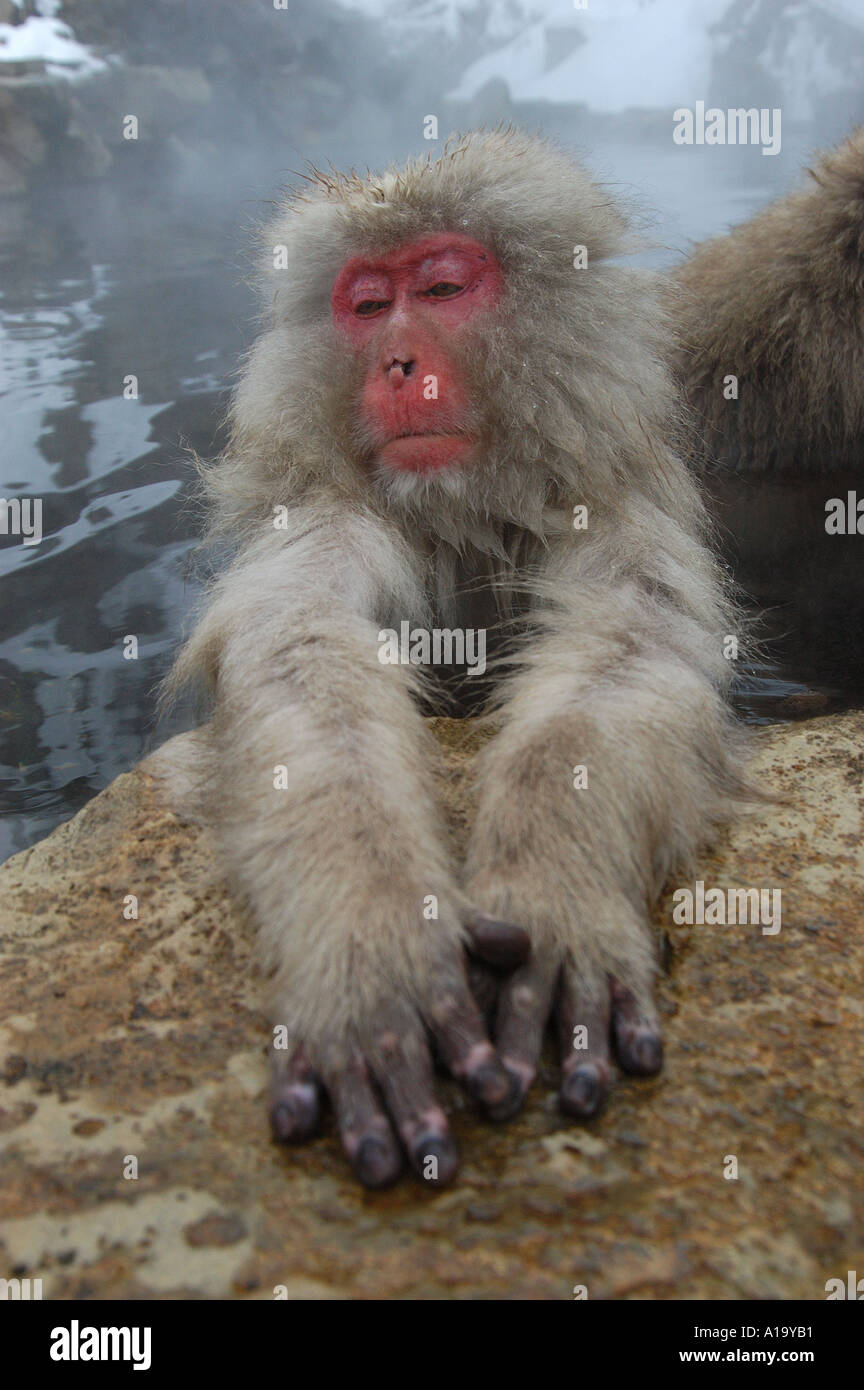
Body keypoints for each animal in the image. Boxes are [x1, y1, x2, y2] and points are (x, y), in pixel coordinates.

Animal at [168, 129, 748, 1189]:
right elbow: (298, 646)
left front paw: (557, 892)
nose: (398, 362)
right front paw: (373, 933)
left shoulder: (616, 504)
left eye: (440, 287)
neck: (465, 514)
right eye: (366, 305)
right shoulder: (327, 511)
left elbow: (631, 651)